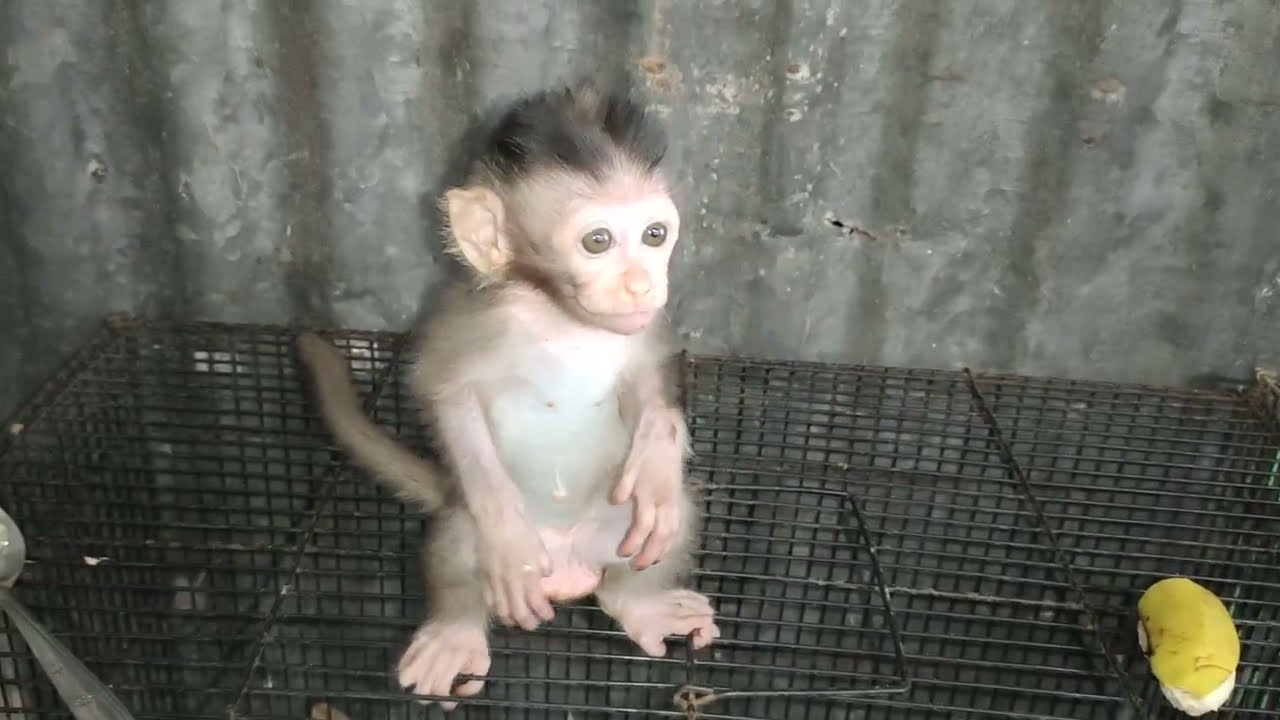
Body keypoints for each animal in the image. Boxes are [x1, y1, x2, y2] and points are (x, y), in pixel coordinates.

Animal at [295, 79, 720, 710]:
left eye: (654, 234)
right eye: (598, 241)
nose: (642, 283)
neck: (561, 318)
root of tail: (568, 567)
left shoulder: (640, 331)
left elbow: (647, 383)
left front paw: (658, 451)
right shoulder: (473, 322)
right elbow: (446, 394)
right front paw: (503, 525)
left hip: (613, 531)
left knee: (657, 531)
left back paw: (640, 602)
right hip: (469, 524)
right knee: (459, 542)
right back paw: (455, 632)